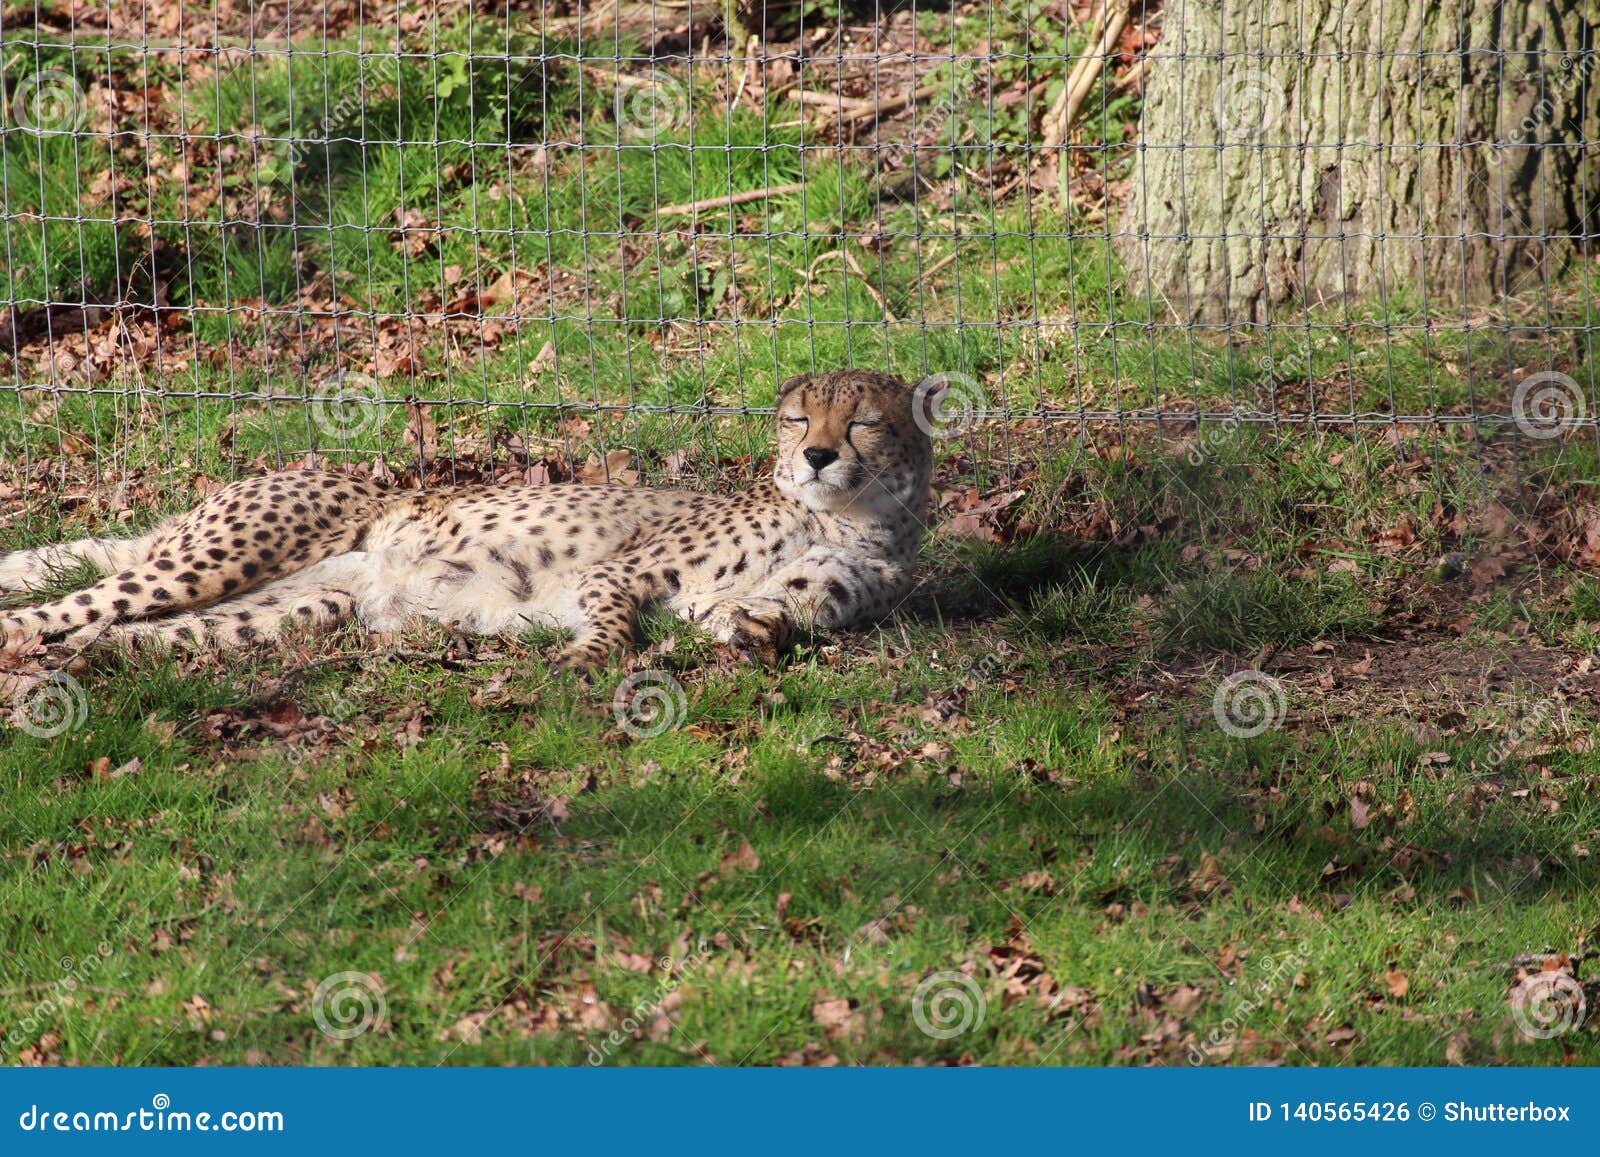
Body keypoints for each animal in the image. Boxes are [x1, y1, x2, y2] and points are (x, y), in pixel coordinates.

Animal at [0, 370, 938, 669]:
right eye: (800, 418)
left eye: (862, 421)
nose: (816, 456)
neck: (844, 517)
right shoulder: (618, 572)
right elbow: (614, 622)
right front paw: (586, 659)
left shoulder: (781, 597)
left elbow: (764, 614)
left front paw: (753, 636)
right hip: (219, 557)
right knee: (52, 611)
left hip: (282, 610)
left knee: (117, 634)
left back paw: (73, 667)